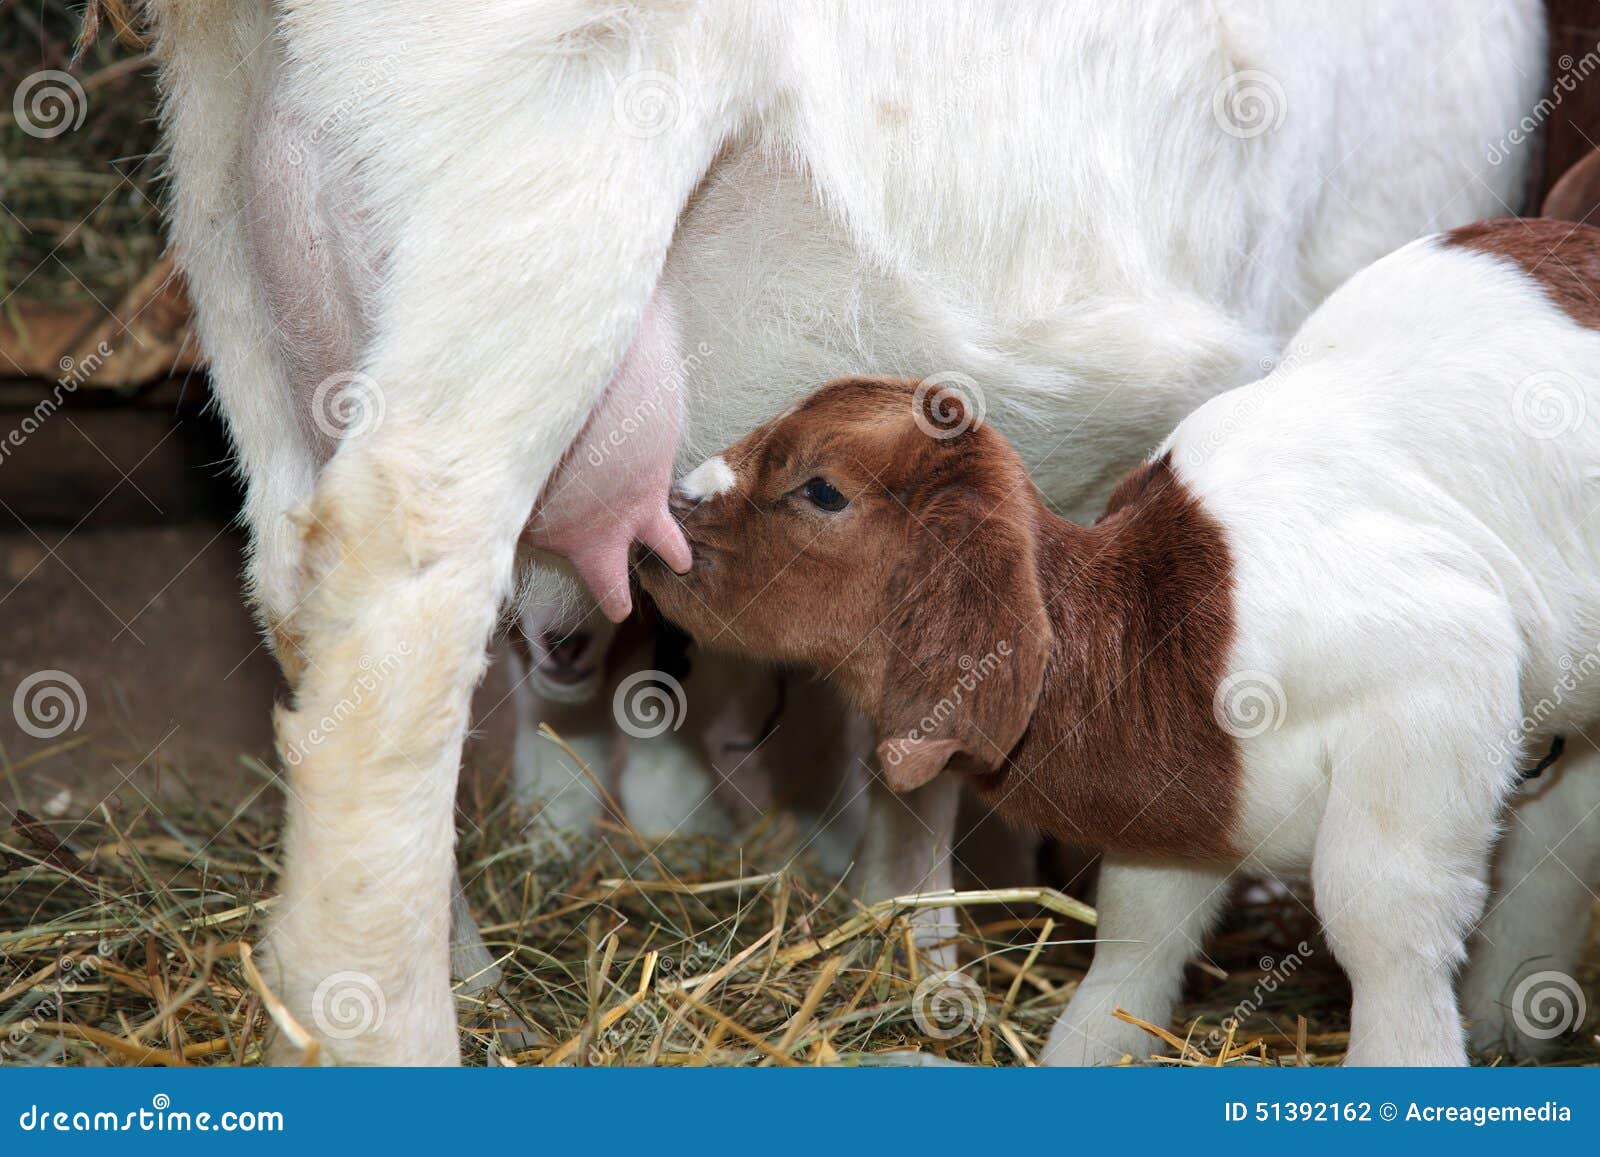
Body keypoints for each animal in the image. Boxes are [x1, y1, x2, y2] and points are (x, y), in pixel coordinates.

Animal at [644, 219, 1600, 1064]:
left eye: (823, 489)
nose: (663, 529)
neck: (1169, 633)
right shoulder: (1175, 818)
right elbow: (1136, 941)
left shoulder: (1439, 681)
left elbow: (1382, 922)